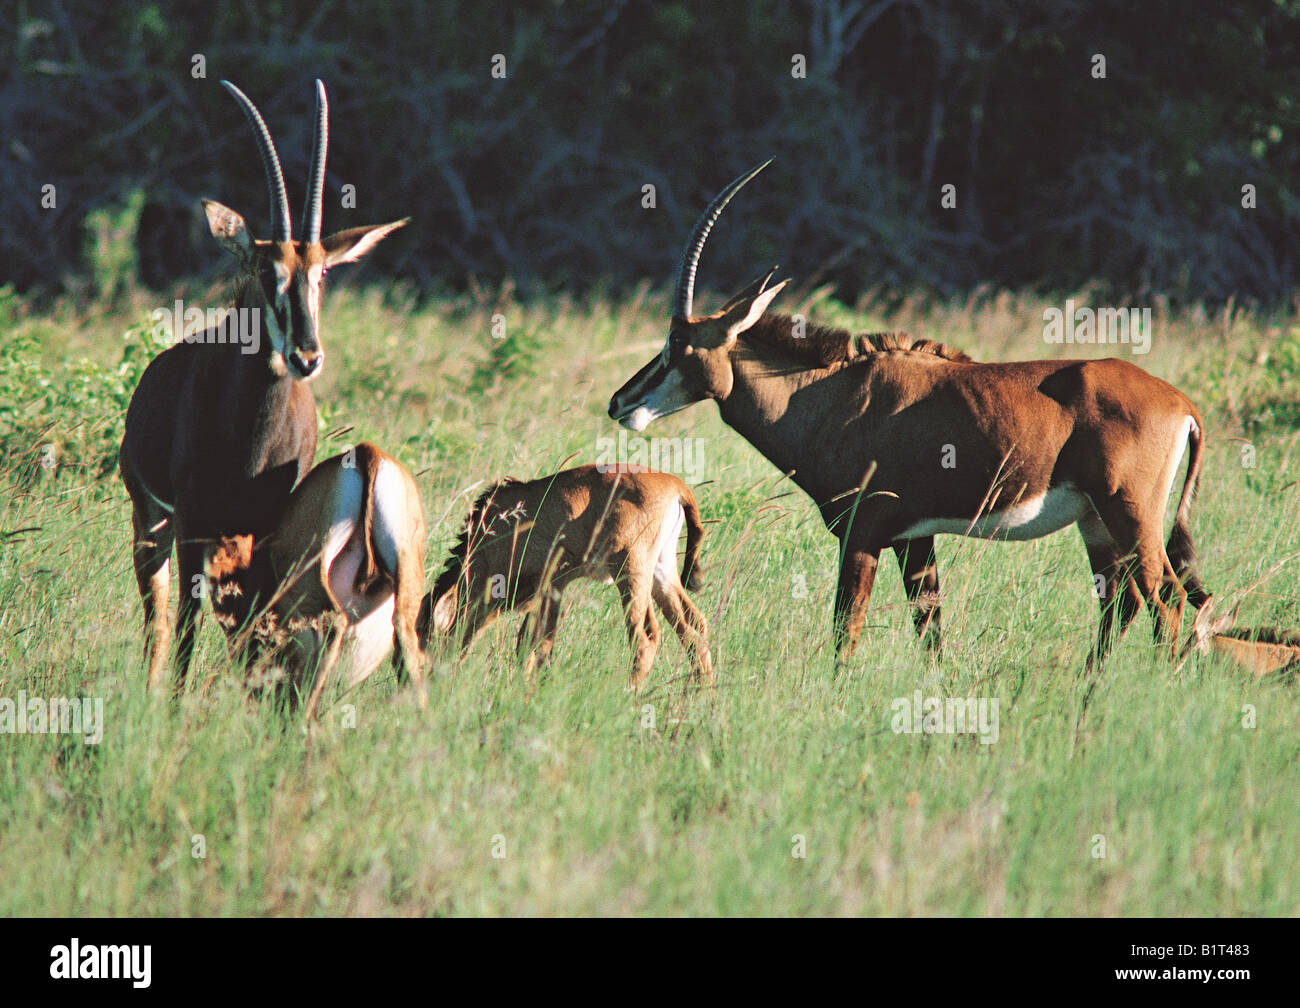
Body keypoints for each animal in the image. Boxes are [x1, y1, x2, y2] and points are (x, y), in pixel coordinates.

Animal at [120, 79, 408, 691]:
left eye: (322, 273)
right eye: (264, 270)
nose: (306, 357)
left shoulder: (263, 525)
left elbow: (251, 614)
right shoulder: (191, 521)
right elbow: (186, 621)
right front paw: (175, 700)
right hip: (151, 516)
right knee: (159, 615)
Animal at [418, 464, 712, 690]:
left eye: (424, 636)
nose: (426, 680)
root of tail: (676, 486)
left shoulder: (552, 582)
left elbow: (538, 645)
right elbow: (527, 643)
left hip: (630, 570)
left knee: (645, 636)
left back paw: (630, 695)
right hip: (662, 572)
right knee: (694, 626)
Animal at [608, 161, 1211, 670]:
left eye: (677, 341)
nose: (620, 403)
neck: (829, 394)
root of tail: (1182, 405)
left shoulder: (863, 534)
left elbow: (845, 630)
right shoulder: (912, 539)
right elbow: (931, 630)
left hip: (1129, 514)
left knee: (1167, 598)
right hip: (1096, 523)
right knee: (1126, 603)